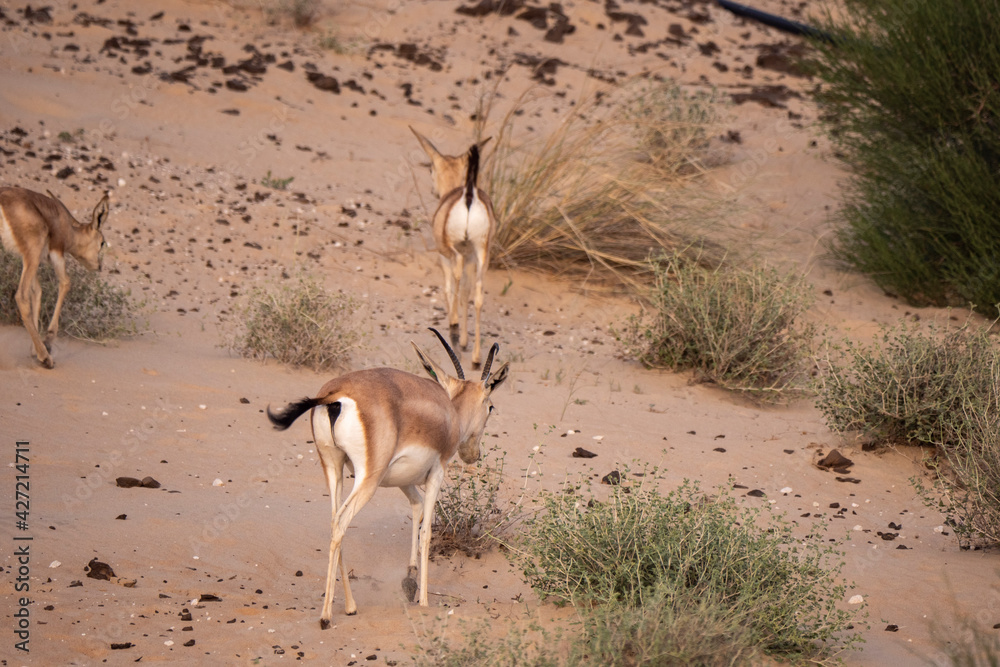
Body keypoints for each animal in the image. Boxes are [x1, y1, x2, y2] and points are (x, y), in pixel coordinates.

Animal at [0, 187, 109, 369]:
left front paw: (35, 349)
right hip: (34, 251)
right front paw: (47, 344)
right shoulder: (55, 252)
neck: (66, 226)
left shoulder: (28, 258)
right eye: (102, 242)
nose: (99, 265)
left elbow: (37, 291)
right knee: (21, 296)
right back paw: (46, 359)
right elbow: (65, 283)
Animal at [267, 329, 509, 628]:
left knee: (334, 521)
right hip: (367, 478)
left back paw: (350, 607)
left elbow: (416, 508)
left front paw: (410, 579)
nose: (472, 455)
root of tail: (334, 397)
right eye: (491, 406)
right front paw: (424, 601)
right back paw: (325, 616)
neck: (449, 415)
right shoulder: (437, 472)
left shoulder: (405, 481)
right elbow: (427, 531)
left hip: (333, 468)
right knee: (342, 522)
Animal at [410, 127, 497, 369]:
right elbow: (466, 292)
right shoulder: (471, 257)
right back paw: (476, 358)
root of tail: (469, 194)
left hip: (454, 252)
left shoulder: (445, 255)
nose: (433, 190)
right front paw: (467, 342)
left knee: (456, 277)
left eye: (431, 168)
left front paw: (457, 333)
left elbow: (449, 288)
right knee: (478, 293)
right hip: (482, 253)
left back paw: (454, 331)